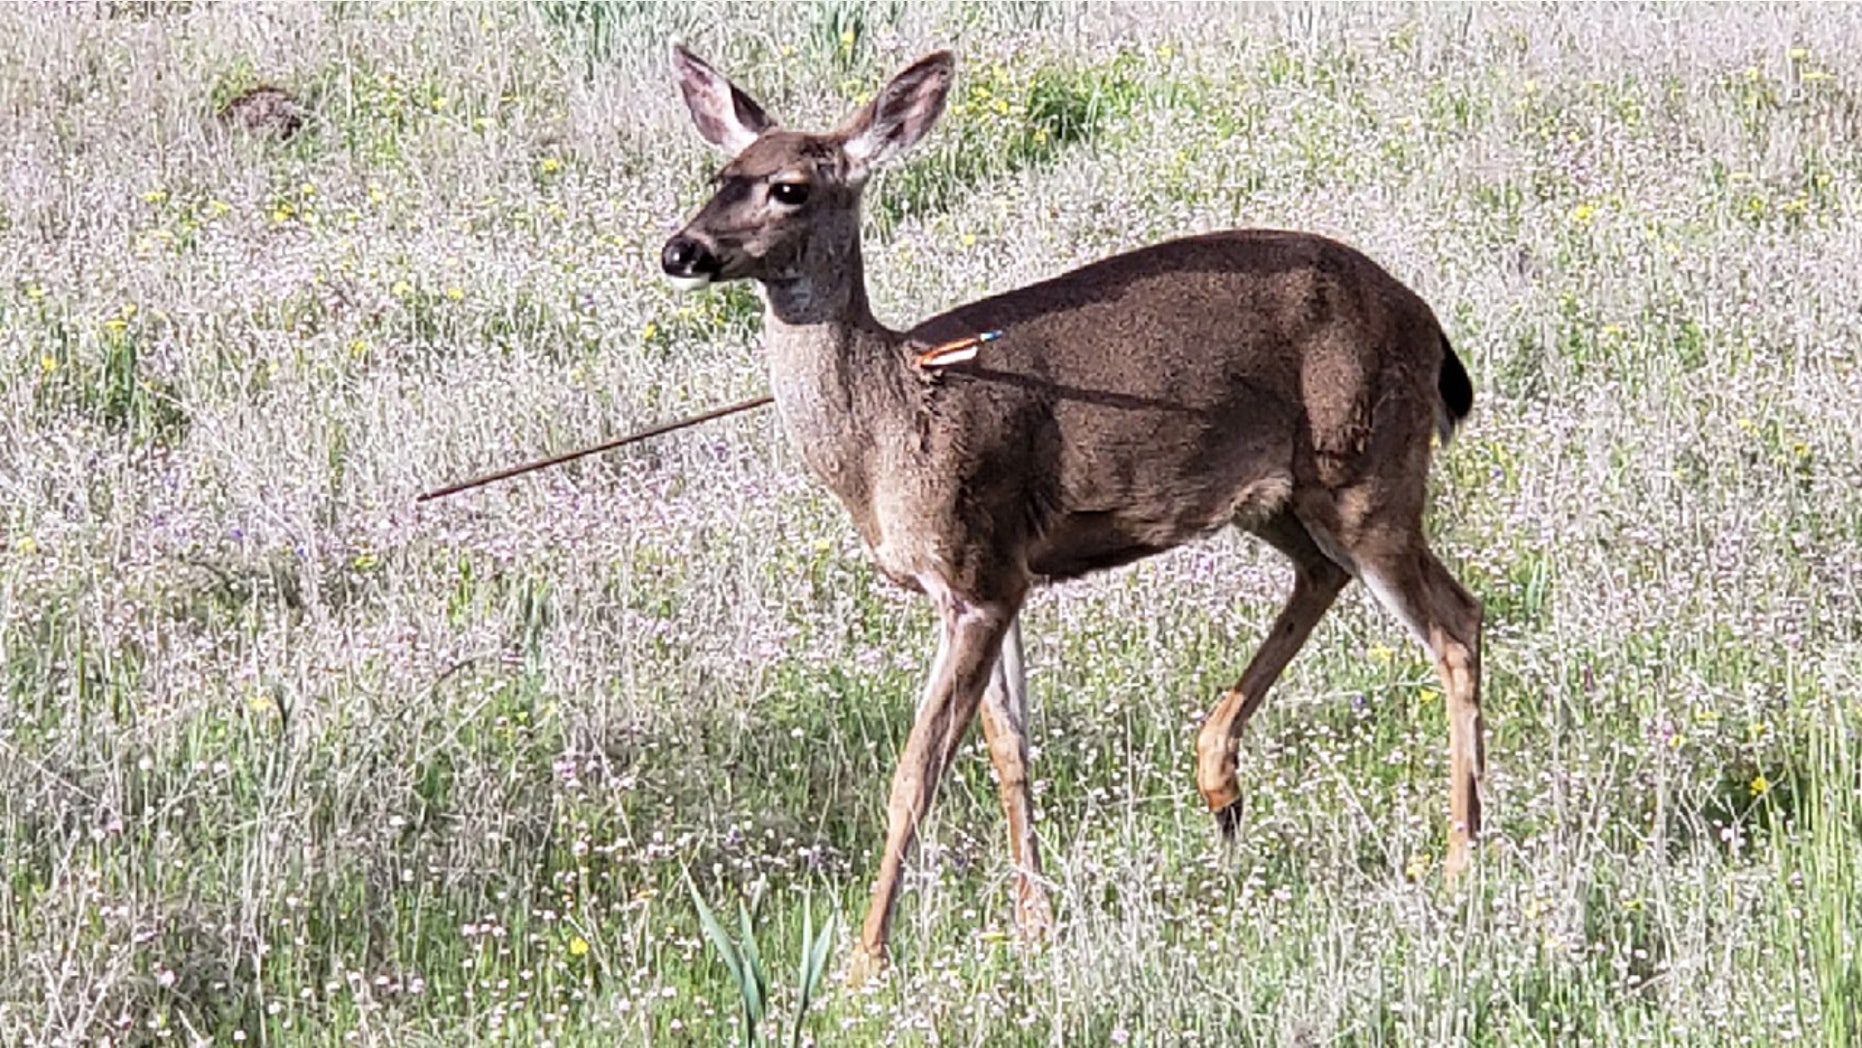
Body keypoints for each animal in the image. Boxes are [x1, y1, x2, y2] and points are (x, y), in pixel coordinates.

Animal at [660, 45, 1485, 978]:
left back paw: (1460, 856)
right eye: (719, 175)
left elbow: (917, 770)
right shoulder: (998, 575)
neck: (888, 422)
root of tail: (1427, 323)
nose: (681, 250)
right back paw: (1221, 781)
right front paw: (1034, 922)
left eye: (789, 187)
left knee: (1456, 622)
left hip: (1370, 470)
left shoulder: (974, 570)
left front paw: (866, 958)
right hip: (1280, 495)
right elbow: (1009, 751)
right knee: (1324, 577)